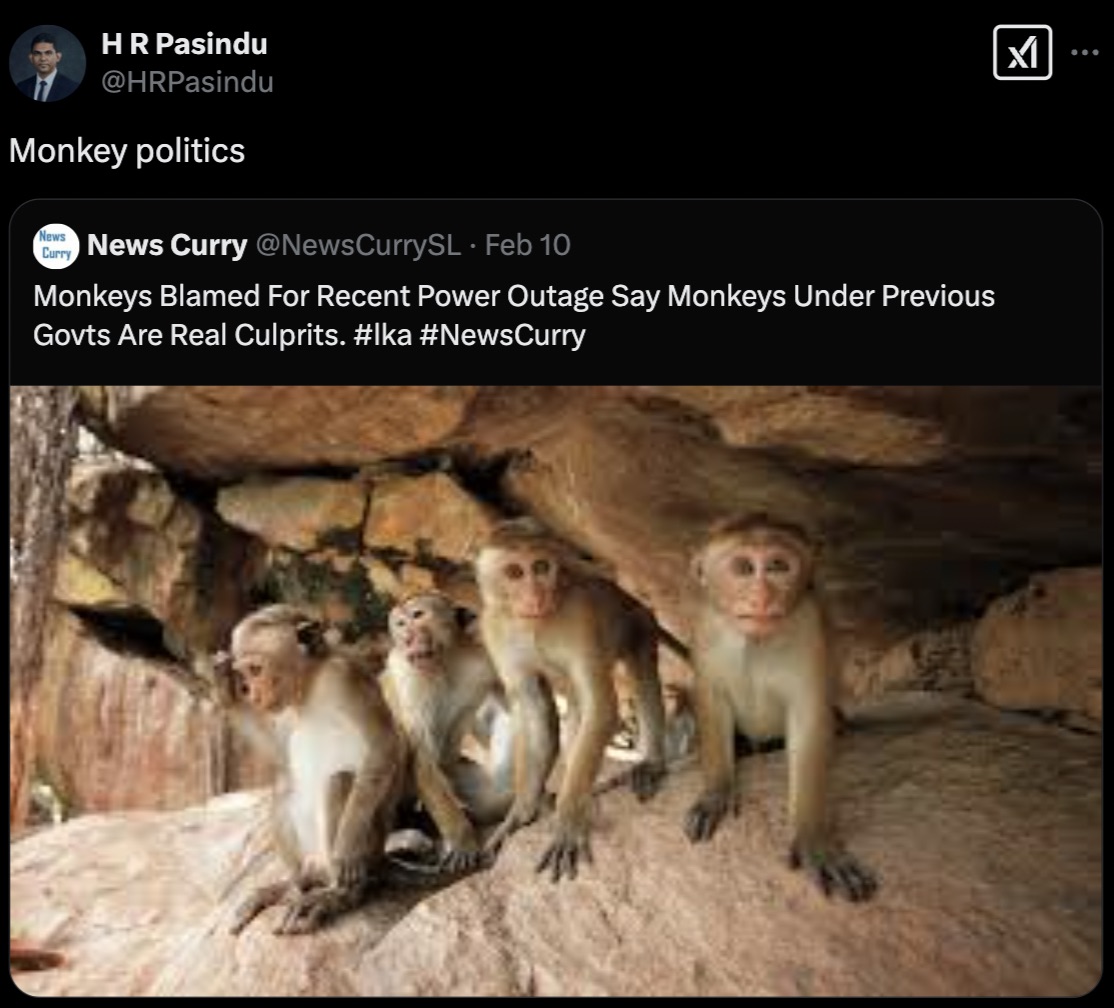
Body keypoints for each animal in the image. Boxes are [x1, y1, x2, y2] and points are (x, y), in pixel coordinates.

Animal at [212, 604, 407, 935]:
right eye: (242, 673)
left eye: (256, 670)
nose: (251, 693)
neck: (310, 682)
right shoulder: (283, 706)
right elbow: (280, 753)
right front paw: (225, 692)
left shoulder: (345, 677)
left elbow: (385, 746)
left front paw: (346, 851)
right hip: (311, 851)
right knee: (284, 786)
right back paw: (294, 885)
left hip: (370, 850)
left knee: (340, 780)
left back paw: (338, 895)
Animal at [379, 592, 514, 872]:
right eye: (400, 624)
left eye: (418, 615)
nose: (407, 638)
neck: (443, 663)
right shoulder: (405, 674)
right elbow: (421, 757)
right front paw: (462, 839)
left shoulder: (481, 660)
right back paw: (394, 841)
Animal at [476, 517, 680, 882]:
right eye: (514, 572)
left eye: (540, 567)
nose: (535, 593)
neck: (532, 623)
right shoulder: (494, 628)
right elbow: (534, 709)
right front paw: (521, 812)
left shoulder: (578, 617)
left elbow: (601, 706)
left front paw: (569, 819)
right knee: (574, 710)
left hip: (640, 625)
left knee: (640, 676)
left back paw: (651, 763)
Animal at [683, 514, 877, 902]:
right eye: (743, 568)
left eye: (777, 566)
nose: (761, 596)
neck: (754, 641)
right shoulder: (705, 624)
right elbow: (711, 699)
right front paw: (716, 790)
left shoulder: (810, 623)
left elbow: (809, 717)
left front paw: (814, 837)